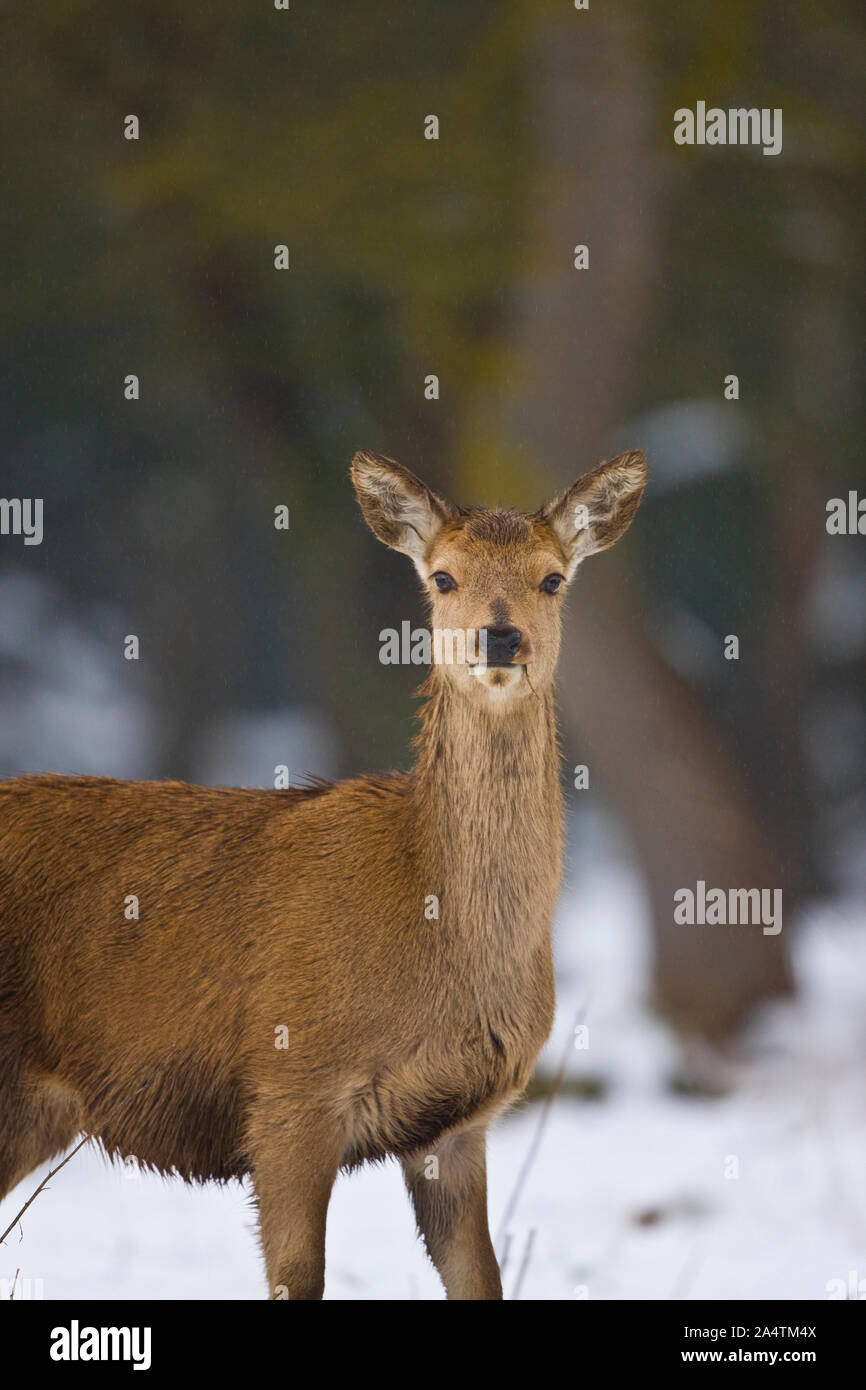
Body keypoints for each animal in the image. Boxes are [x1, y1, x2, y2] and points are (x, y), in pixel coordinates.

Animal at [0, 447, 646, 1300]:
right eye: (443, 576)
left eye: (552, 578)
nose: (501, 638)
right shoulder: (287, 1087)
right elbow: (299, 1276)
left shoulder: (457, 1125)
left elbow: (482, 1278)